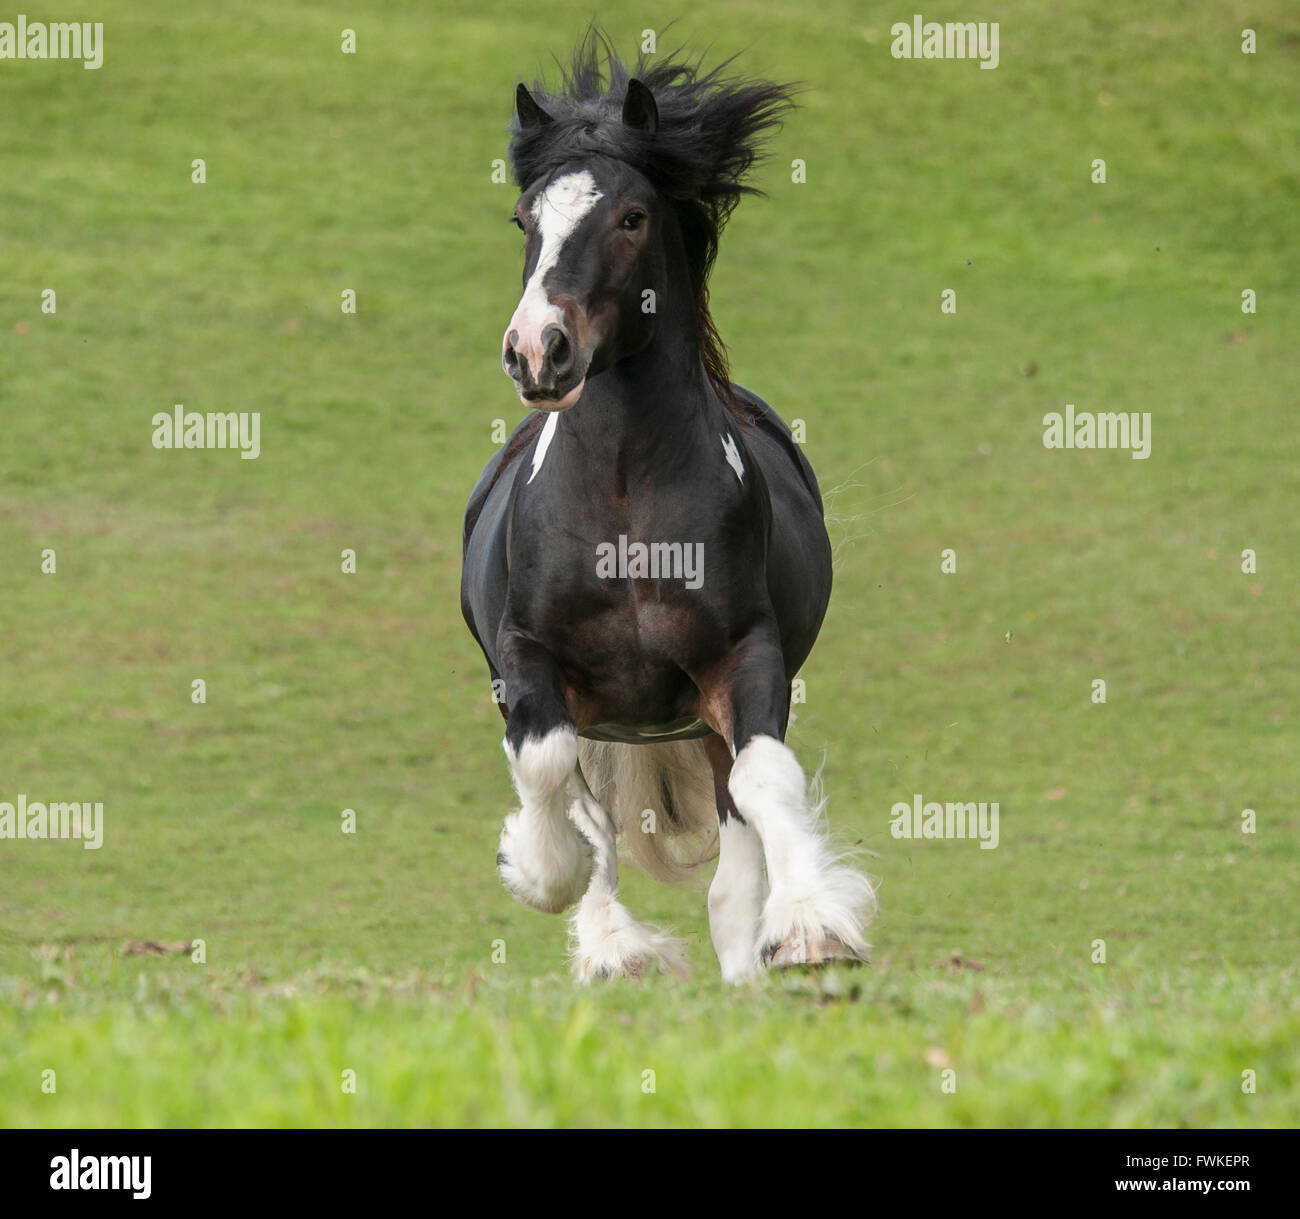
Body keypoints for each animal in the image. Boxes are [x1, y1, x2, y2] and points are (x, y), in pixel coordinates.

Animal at [460, 34, 875, 983]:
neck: (624, 500)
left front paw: (811, 925)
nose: (536, 350)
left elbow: (766, 782)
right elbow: (551, 774)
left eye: (631, 219)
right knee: (589, 801)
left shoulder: (746, 658)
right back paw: (611, 941)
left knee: (729, 860)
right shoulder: (527, 657)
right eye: (523, 221)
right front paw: (538, 872)